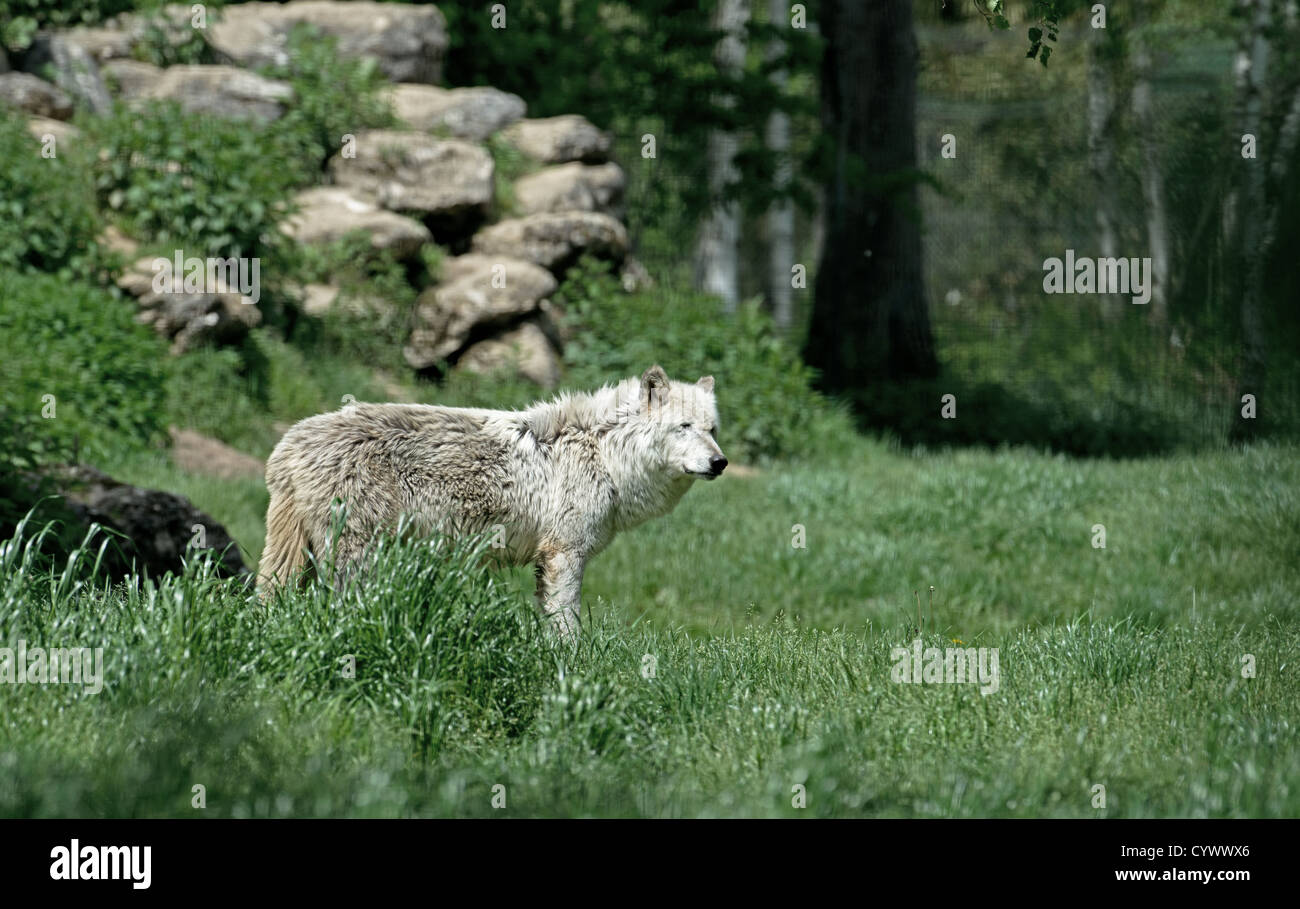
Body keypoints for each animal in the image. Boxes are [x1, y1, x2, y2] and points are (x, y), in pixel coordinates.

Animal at [257, 365, 726, 638]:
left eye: (713, 429)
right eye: (684, 427)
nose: (720, 463)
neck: (603, 451)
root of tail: (288, 445)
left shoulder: (546, 561)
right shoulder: (565, 554)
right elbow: (568, 628)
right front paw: (574, 670)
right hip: (356, 562)